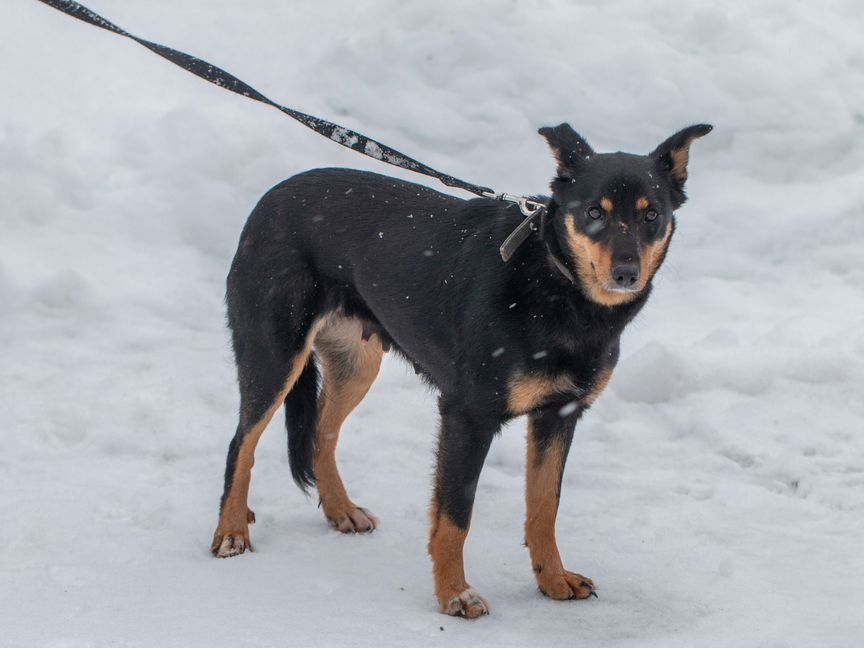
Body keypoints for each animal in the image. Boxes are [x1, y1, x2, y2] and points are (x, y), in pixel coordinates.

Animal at [208, 123, 708, 616]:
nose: (627, 273)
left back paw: (340, 510)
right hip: (275, 355)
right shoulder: (469, 416)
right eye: (592, 213)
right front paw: (454, 594)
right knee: (242, 441)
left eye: (651, 215)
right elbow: (455, 515)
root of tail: (272, 196)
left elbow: (544, 507)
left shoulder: (559, 415)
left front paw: (552, 581)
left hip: (356, 364)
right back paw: (231, 531)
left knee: (320, 434)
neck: (554, 283)